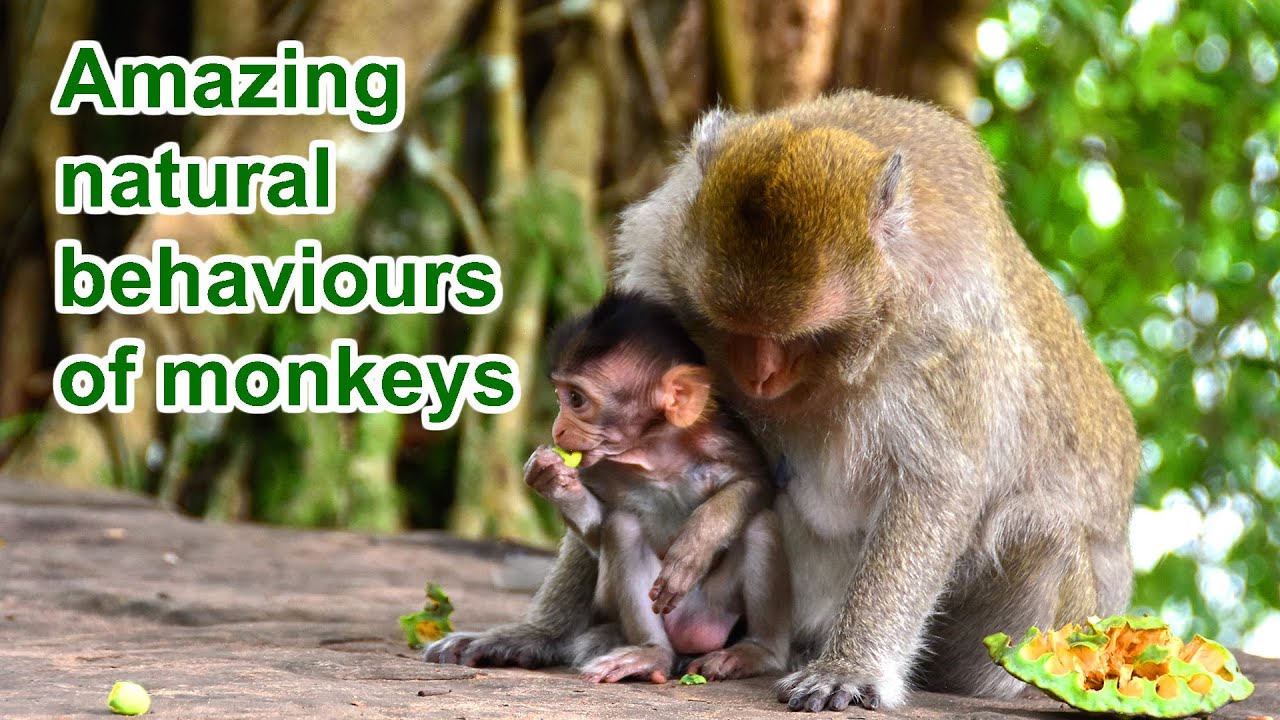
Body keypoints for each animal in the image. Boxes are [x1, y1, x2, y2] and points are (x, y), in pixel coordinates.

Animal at [427, 291, 791, 684]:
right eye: (560, 395)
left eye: (576, 399)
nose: (557, 430)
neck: (653, 451)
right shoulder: (597, 468)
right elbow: (600, 531)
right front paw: (556, 481)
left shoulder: (719, 440)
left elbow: (756, 480)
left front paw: (696, 543)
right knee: (623, 528)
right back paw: (650, 653)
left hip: (713, 610)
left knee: (761, 526)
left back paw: (757, 651)